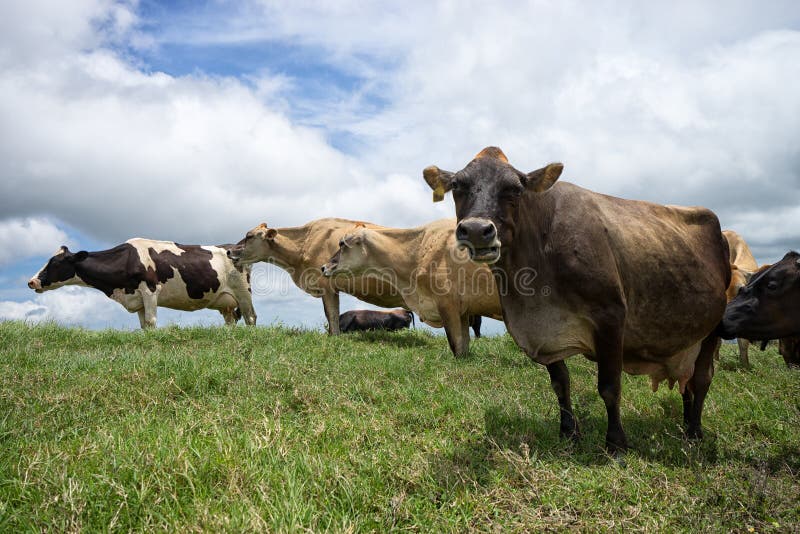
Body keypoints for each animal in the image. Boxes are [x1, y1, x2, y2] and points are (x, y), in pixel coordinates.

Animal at [28, 239, 256, 328]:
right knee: (231, 321)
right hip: (225, 302)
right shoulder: (136, 299)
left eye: (55, 262)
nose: (31, 281)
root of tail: (233, 246)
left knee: (250, 317)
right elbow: (144, 325)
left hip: (243, 292)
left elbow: (151, 321)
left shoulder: (150, 290)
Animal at [320, 219, 503, 357]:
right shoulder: (463, 311)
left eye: (342, 243)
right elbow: (463, 346)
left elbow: (456, 345)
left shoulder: (447, 305)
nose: (323, 267)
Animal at [422, 147, 730, 452]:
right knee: (687, 382)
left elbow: (609, 387)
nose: (476, 230)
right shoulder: (543, 331)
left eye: (515, 188)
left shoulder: (610, 316)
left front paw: (616, 443)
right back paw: (685, 424)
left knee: (701, 379)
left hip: (714, 326)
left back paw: (694, 432)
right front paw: (568, 433)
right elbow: (560, 383)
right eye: (457, 186)